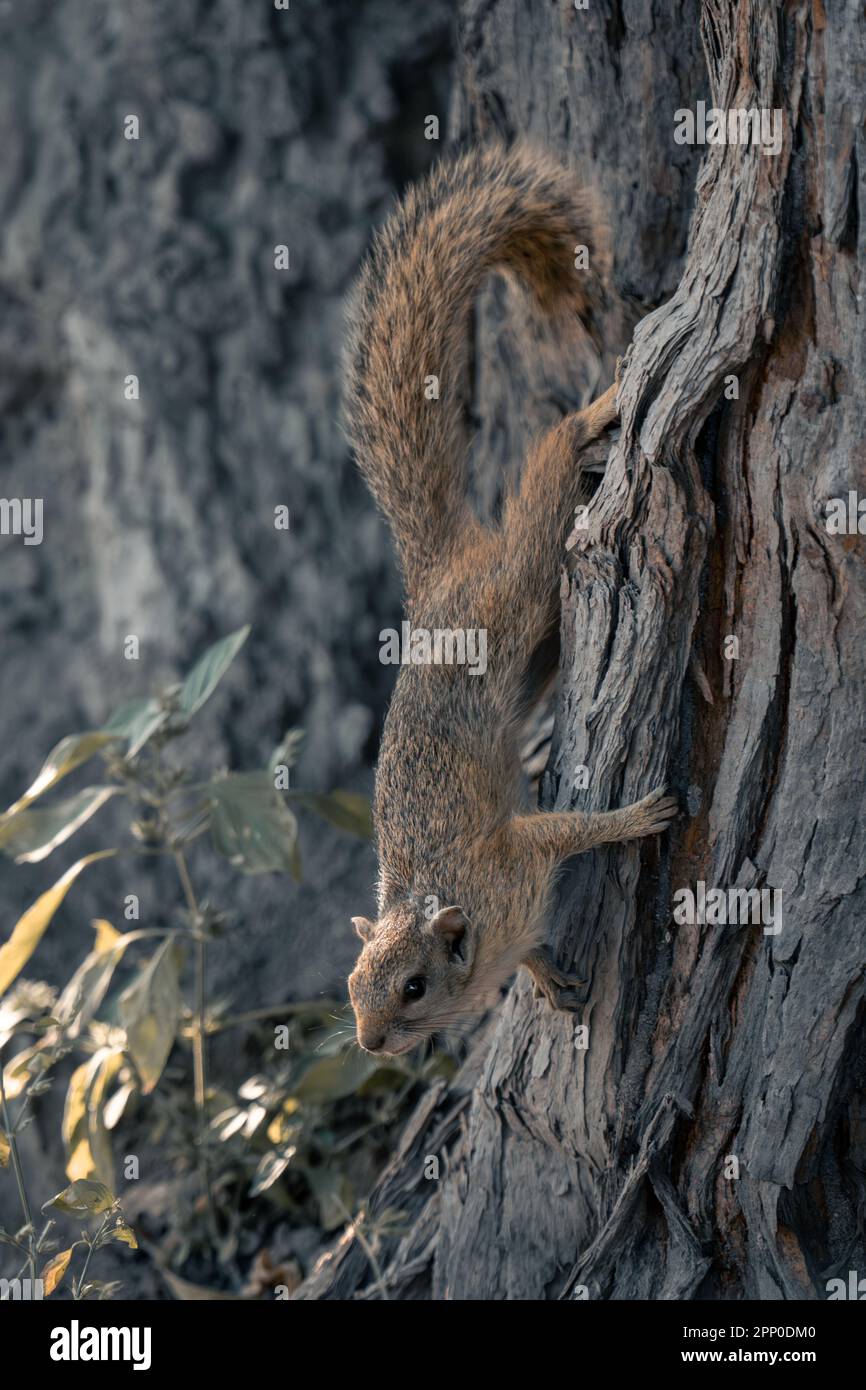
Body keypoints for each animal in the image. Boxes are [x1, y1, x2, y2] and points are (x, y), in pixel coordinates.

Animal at [344, 144, 677, 1056]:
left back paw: (601, 406)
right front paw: (548, 980)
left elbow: (567, 830)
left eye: (414, 986)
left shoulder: (509, 859)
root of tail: (440, 577)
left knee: (552, 455)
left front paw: (634, 818)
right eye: (351, 988)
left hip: (519, 578)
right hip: (533, 641)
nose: (369, 1044)